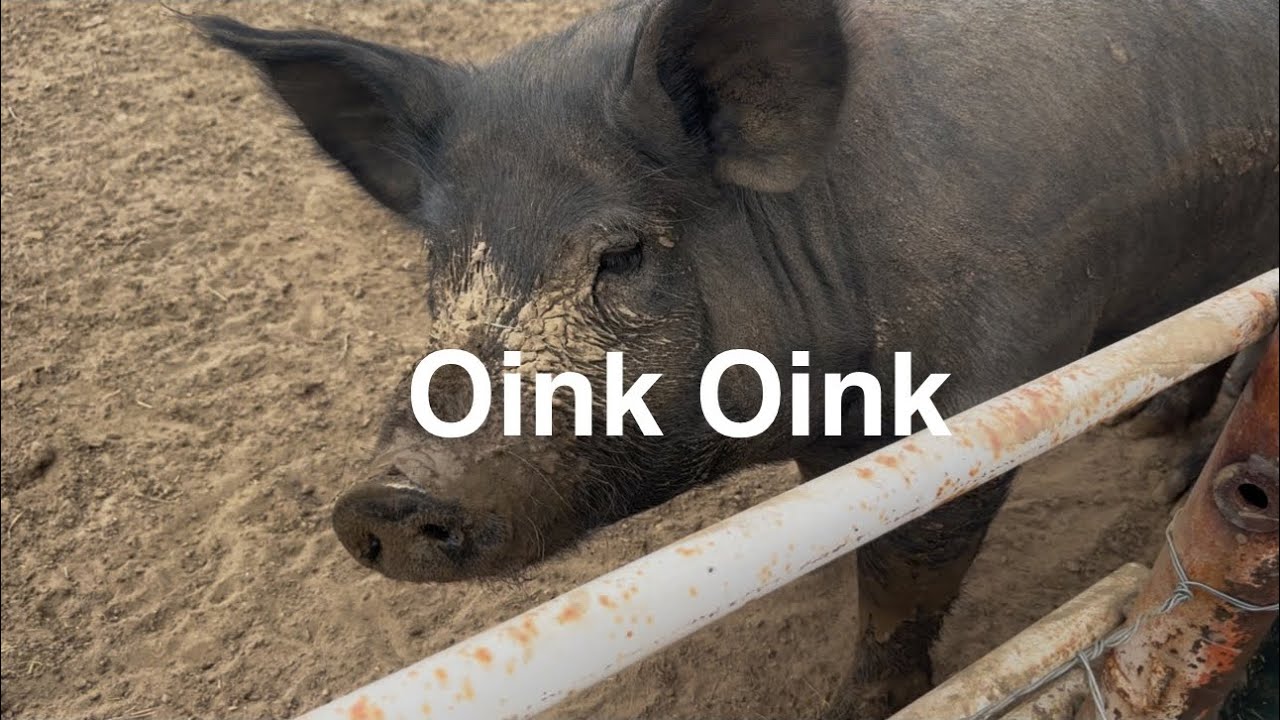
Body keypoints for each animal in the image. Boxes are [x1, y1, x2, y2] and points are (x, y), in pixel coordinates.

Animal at [193, 0, 1279, 715]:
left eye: (622, 251)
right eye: (443, 260)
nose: (385, 496)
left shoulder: (988, 399)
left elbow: (906, 582)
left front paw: (860, 705)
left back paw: (1171, 478)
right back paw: (1141, 424)